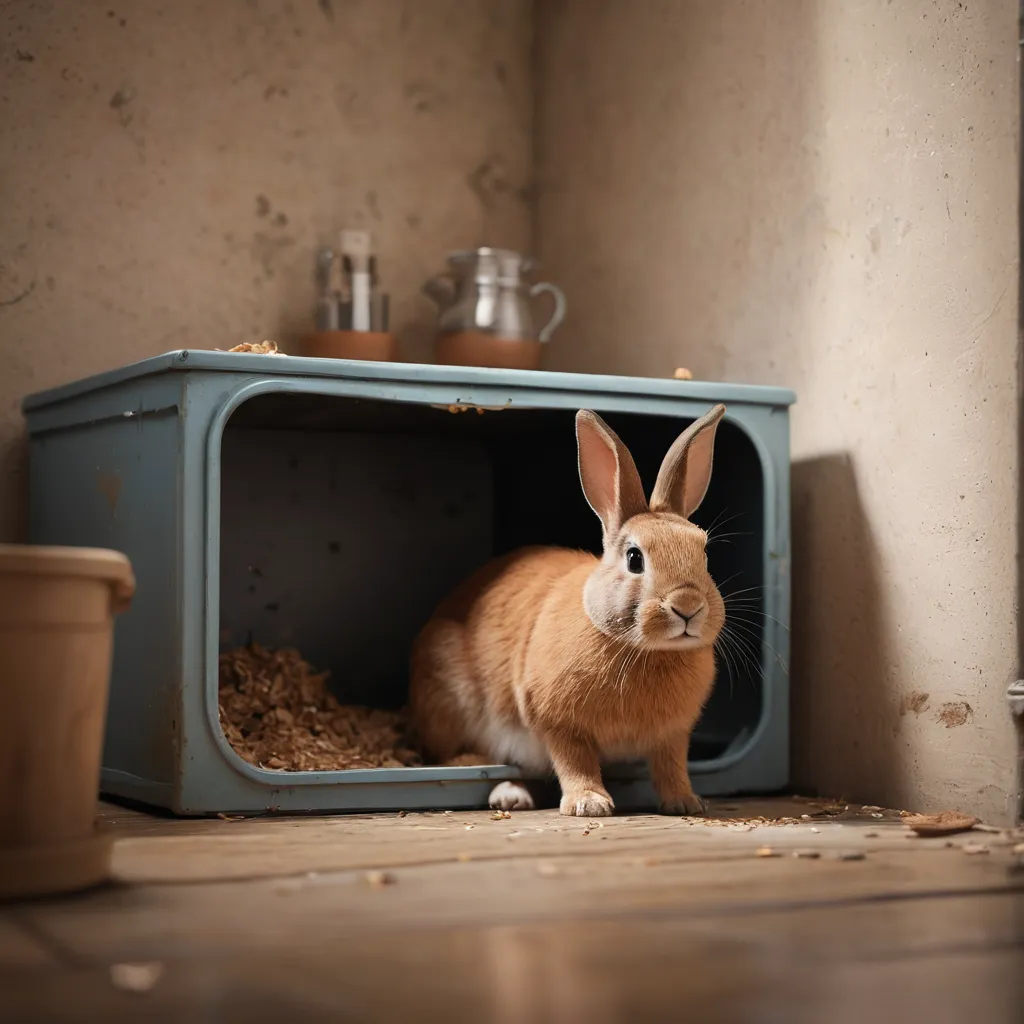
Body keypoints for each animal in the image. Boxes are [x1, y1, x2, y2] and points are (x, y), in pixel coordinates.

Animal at [409, 403, 727, 817]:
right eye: (635, 558)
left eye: (703, 553)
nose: (688, 606)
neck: (644, 650)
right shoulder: (557, 723)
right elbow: (575, 761)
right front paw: (589, 804)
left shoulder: (671, 736)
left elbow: (671, 766)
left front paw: (686, 802)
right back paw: (506, 792)